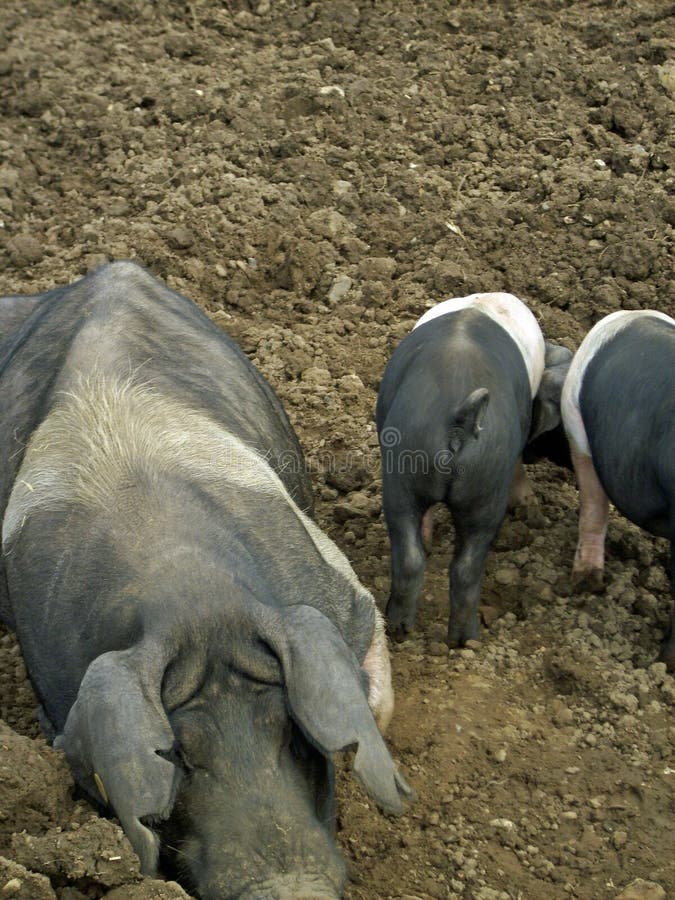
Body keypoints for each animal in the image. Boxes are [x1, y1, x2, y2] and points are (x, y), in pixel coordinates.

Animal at [376, 292, 571, 646]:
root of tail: (462, 416)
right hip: (486, 484)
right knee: (467, 565)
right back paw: (466, 640)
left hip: (404, 470)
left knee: (415, 557)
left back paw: (405, 630)